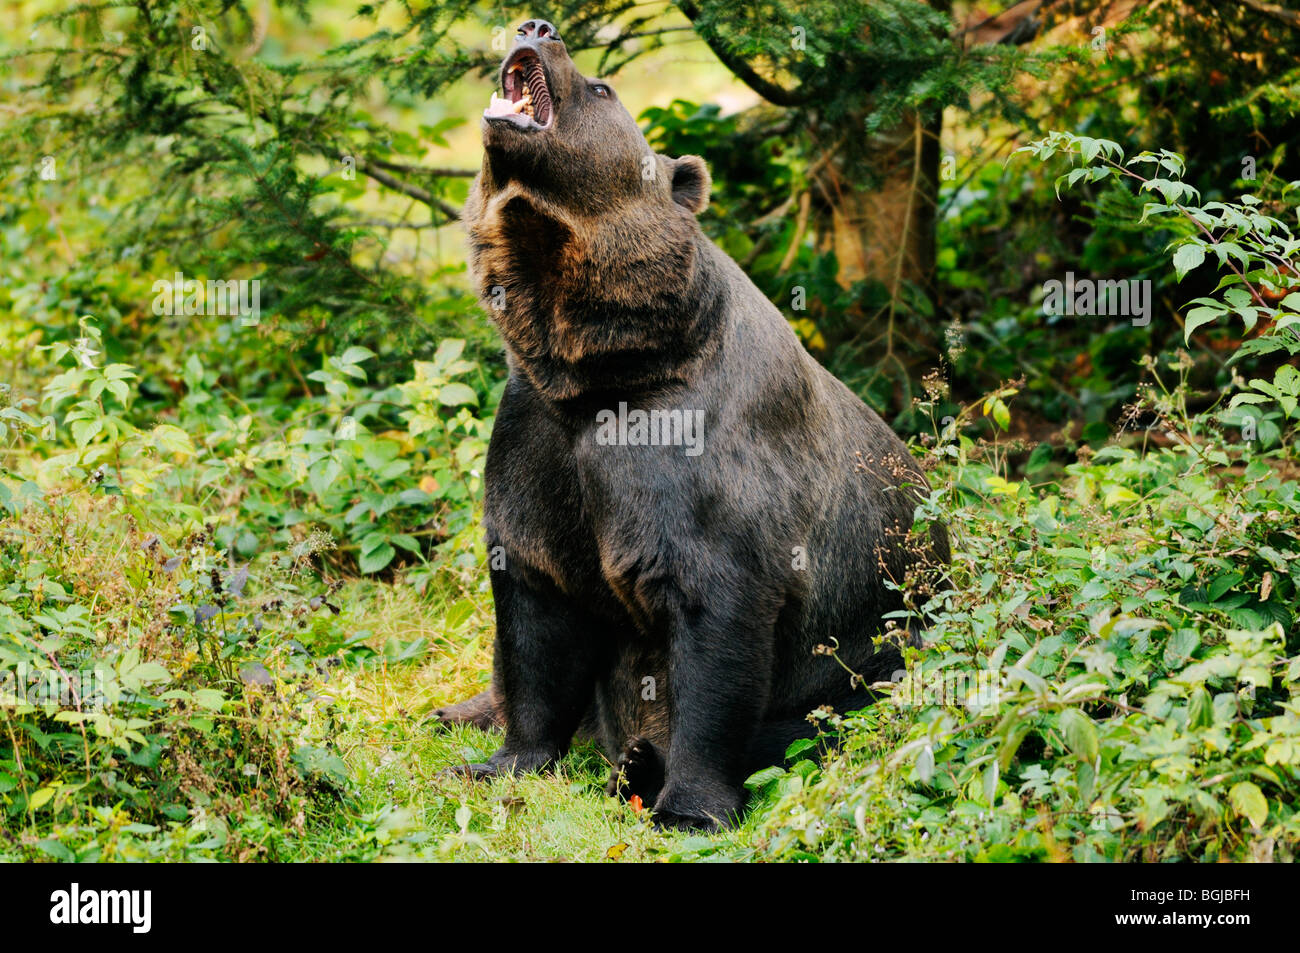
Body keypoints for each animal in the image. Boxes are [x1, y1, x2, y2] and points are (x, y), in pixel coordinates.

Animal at [436, 18, 949, 831]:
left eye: (602, 86)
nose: (537, 28)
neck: (600, 363)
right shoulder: (538, 443)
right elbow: (534, 613)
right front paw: (505, 758)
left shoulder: (699, 468)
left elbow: (715, 625)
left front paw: (689, 804)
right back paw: (462, 711)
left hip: (890, 635)